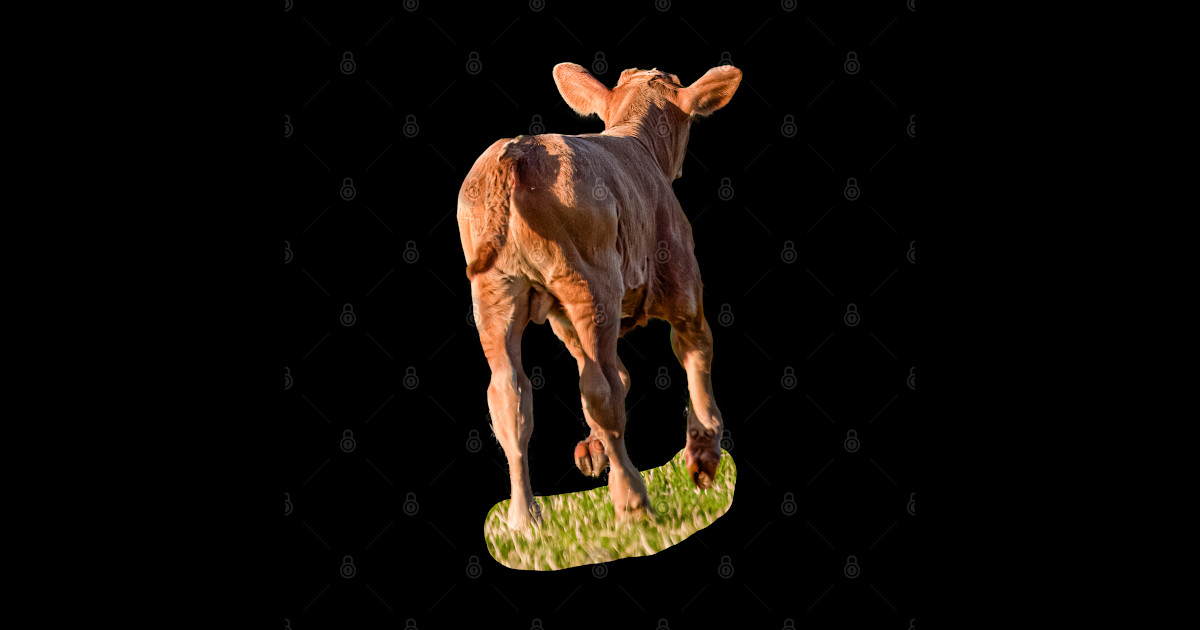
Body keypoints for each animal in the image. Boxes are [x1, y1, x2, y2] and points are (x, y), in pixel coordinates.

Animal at [457, 63, 742, 530]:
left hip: (494, 294)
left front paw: (592, 453)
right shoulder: (684, 290)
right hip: (592, 286)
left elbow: (619, 375)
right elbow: (697, 359)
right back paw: (632, 500)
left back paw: (523, 518)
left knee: (509, 396)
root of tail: (517, 150)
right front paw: (703, 459)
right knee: (598, 390)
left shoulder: (561, 320)